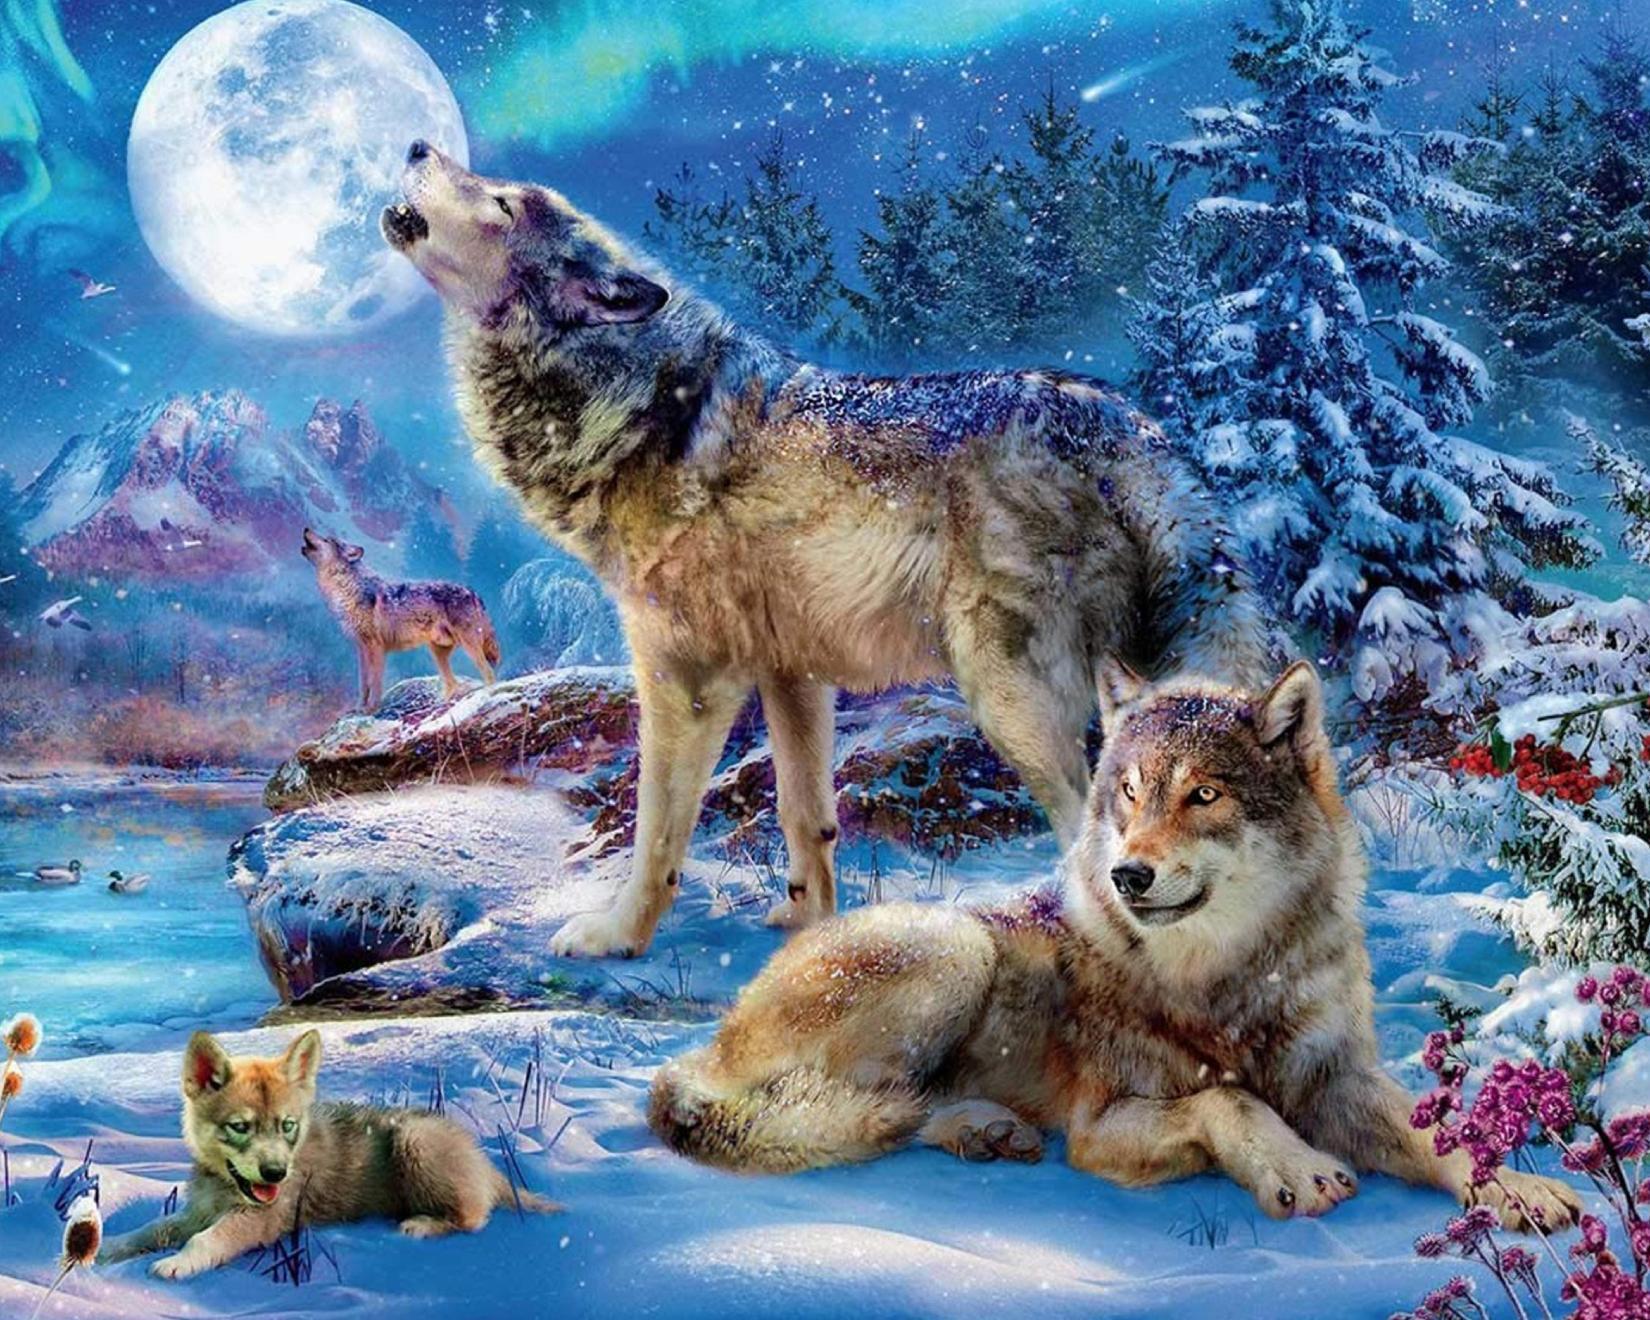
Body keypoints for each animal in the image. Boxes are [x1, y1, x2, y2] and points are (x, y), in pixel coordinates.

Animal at [101, 1030, 559, 1279]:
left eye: (288, 1126)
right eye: (240, 1127)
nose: (275, 1173)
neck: (226, 1185)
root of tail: (484, 1162)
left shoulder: (258, 1219)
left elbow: (207, 1238)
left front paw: (177, 1263)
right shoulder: (197, 1212)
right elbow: (152, 1230)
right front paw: (105, 1248)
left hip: (416, 1141)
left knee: (474, 1217)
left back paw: (423, 1224)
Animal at [301, 527, 500, 709]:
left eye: (327, 540)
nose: (306, 528)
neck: (346, 589)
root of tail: (474, 593)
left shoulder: (376, 647)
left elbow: (375, 682)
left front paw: (372, 709)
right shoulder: (361, 649)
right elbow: (363, 683)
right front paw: (359, 709)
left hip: (469, 647)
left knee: (489, 674)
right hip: (437, 652)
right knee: (453, 683)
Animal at [382, 140, 1267, 959]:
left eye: (501, 202)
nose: (419, 144)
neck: (642, 403)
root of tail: (1128, 424)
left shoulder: (685, 674)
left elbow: (656, 829)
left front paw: (617, 936)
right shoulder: (793, 675)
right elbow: (807, 815)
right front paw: (807, 927)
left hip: (1010, 701)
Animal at [647, 662, 1581, 1232]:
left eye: (1203, 795)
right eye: (1129, 792)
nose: (1129, 874)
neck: (1231, 979)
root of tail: (701, 1049)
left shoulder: (1337, 1079)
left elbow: (1442, 1133)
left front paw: (1521, 1190)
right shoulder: (1102, 1128)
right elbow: (1229, 1101)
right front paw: (1298, 1169)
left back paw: (987, 1131)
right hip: (953, 948)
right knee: (842, 1108)